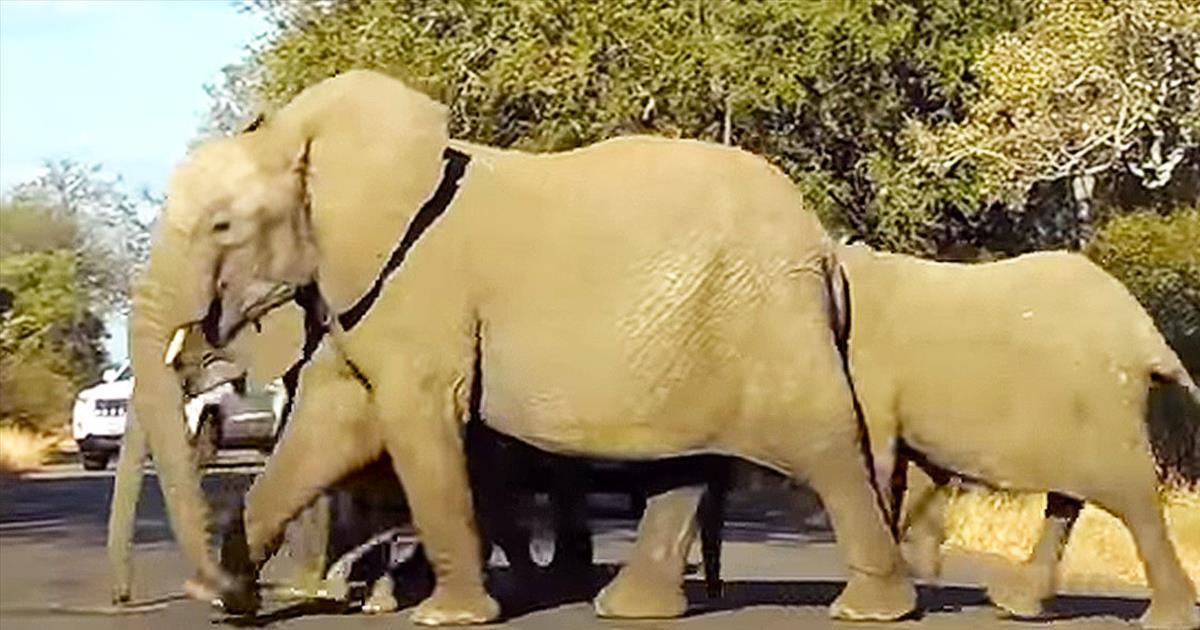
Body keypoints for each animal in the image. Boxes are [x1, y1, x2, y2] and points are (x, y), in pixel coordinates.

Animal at [127, 68, 914, 625]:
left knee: (825, 445)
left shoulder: (420, 289)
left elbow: (410, 420)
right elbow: (331, 422)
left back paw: (872, 610)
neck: (311, 135)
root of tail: (825, 250)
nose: (206, 583)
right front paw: (226, 596)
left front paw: (448, 618)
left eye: (223, 227)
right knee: (686, 466)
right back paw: (629, 610)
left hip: (770, 320)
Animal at [590, 242, 1200, 630]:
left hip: (1101, 404)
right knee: (1070, 500)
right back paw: (1014, 605)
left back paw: (1165, 620)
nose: (713, 587)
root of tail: (1147, 333)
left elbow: (878, 463)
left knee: (1130, 499)